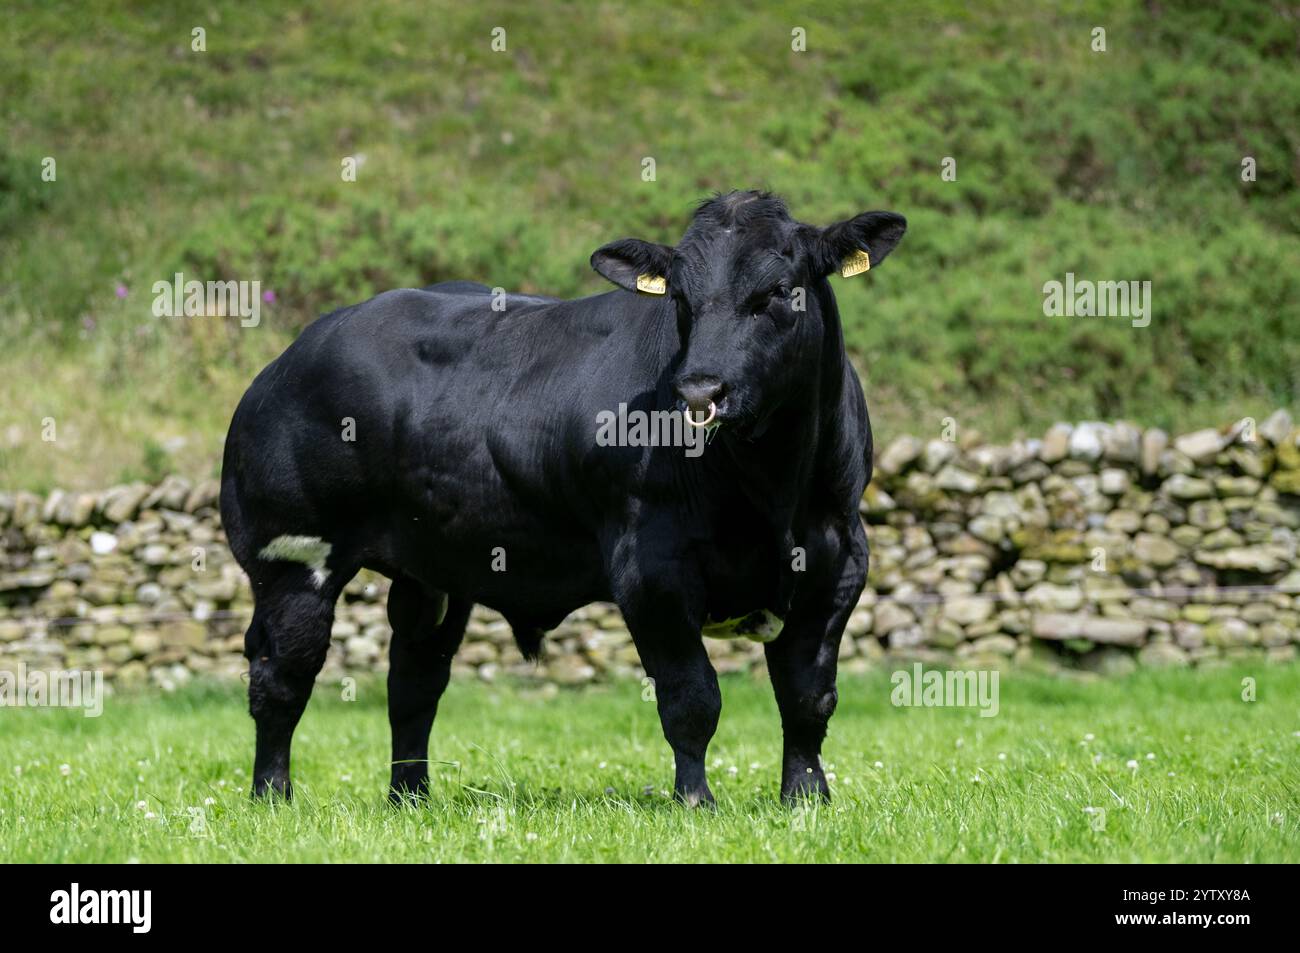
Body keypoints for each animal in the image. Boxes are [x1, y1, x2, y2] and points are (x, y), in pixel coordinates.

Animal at [219, 190, 906, 806]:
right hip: (293, 556)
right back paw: (272, 795)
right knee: (281, 676)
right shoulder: (649, 568)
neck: (774, 489)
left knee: (413, 681)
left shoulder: (840, 560)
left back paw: (409, 799)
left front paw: (807, 799)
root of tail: (291, 356)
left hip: (432, 571)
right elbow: (691, 698)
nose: (700, 390)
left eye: (779, 291)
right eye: (680, 299)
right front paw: (696, 803)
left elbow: (807, 696)